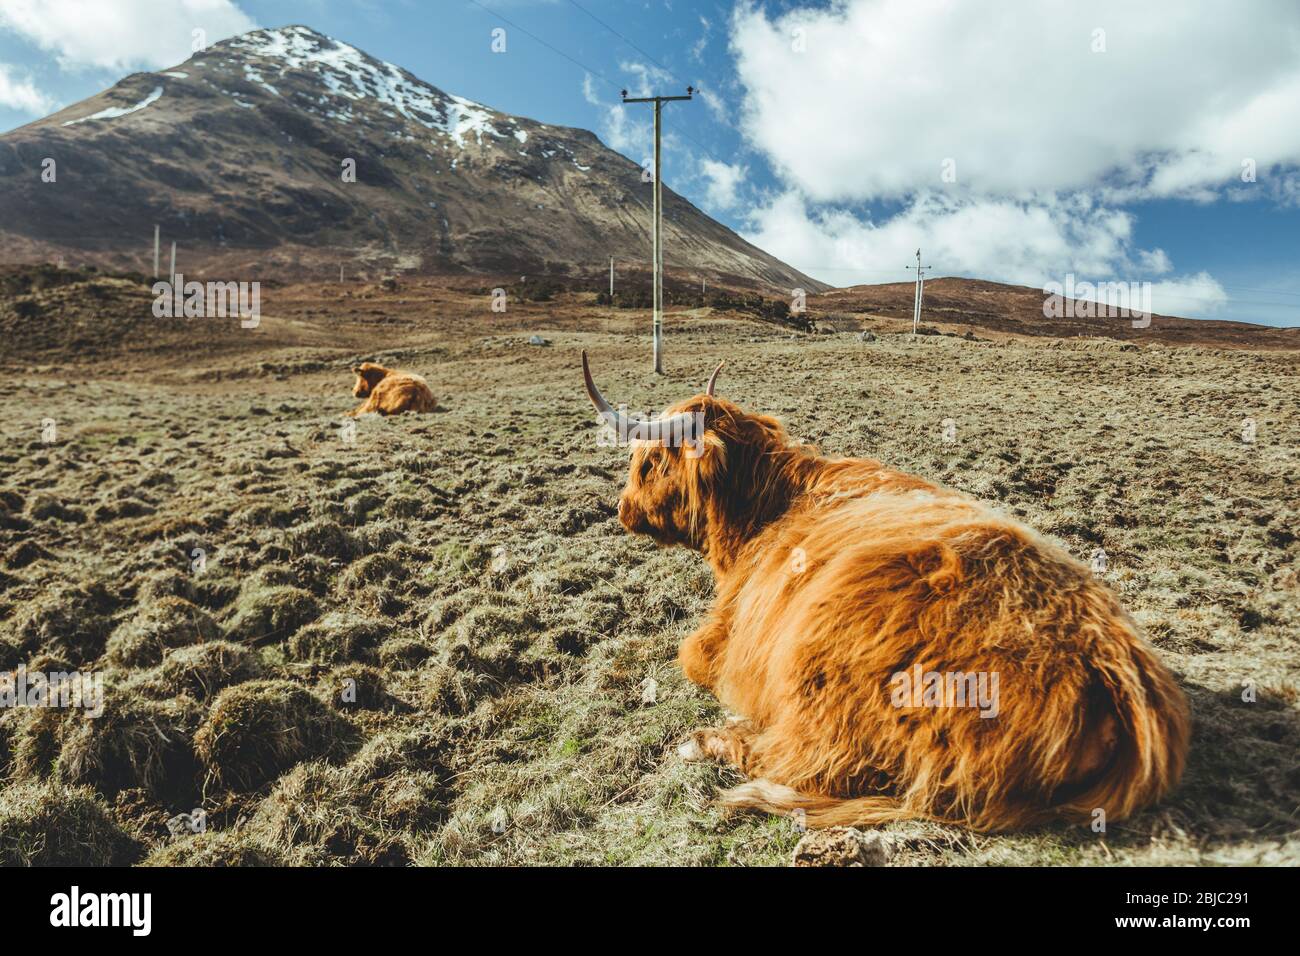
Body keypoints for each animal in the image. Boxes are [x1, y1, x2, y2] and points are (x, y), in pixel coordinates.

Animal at [581, 351, 1189, 831]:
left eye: (648, 461)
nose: (623, 511)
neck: (763, 509)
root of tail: (1113, 662)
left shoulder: (723, 637)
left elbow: (690, 656)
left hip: (829, 673)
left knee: (803, 760)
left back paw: (710, 739)